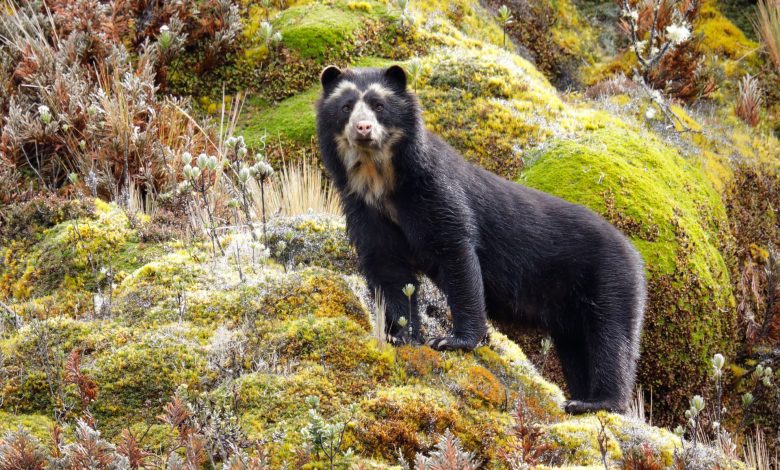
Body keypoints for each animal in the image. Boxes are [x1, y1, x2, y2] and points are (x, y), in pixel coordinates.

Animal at [316, 65, 644, 412]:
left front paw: (451, 340)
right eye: (346, 106)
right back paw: (580, 397)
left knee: (610, 338)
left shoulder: (435, 192)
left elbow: (456, 254)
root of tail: (635, 253)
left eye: (379, 105)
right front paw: (403, 337)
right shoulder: (364, 210)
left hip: (609, 282)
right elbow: (387, 269)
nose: (363, 128)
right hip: (571, 311)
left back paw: (597, 403)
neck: (379, 179)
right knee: (578, 349)